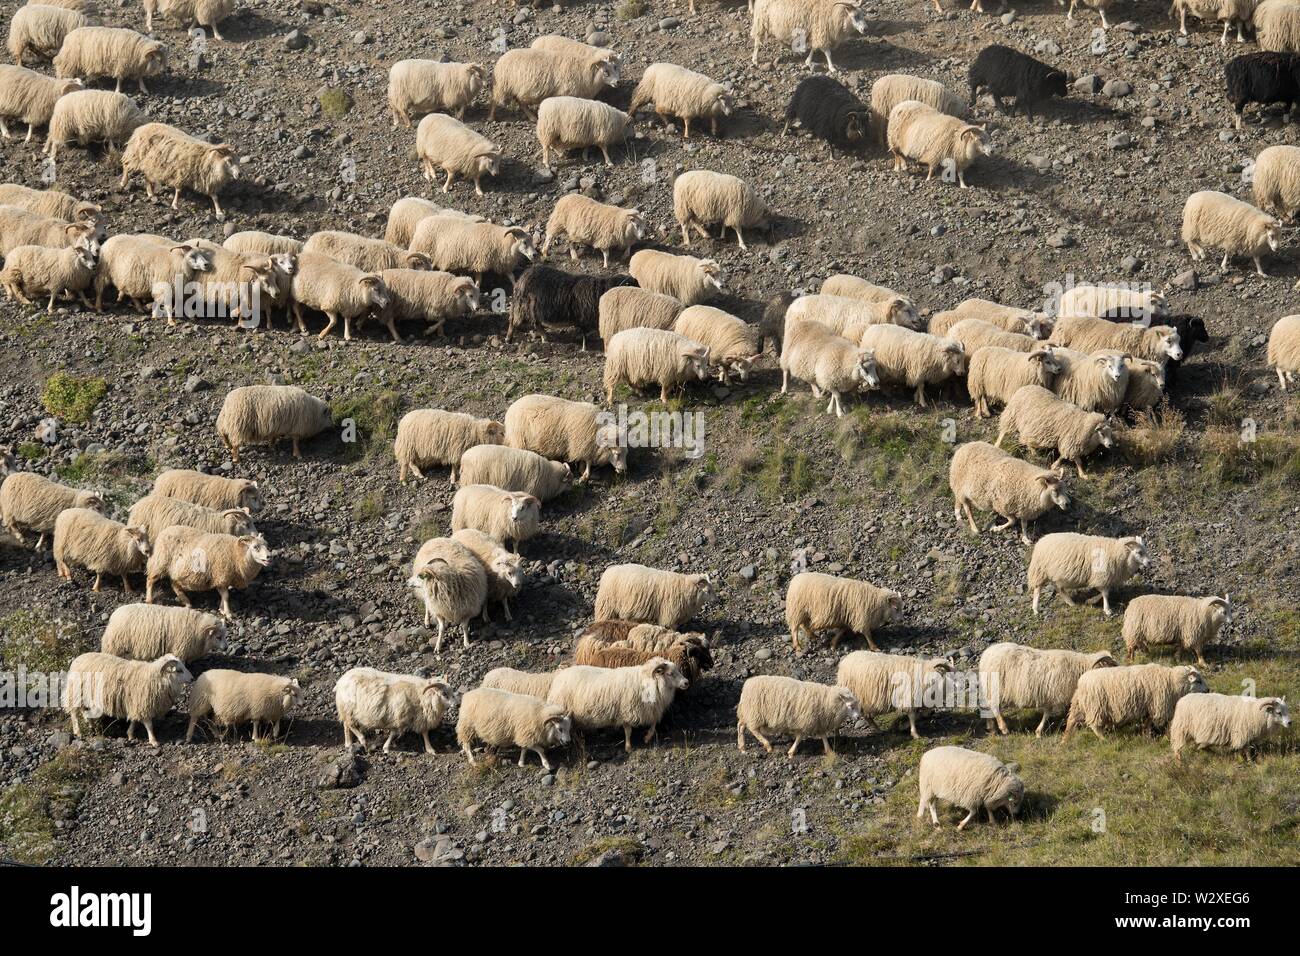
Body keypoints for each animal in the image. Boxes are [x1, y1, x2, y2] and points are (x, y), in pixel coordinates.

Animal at [489, 48, 618, 120]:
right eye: (606, 71)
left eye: (615, 67)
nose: (617, 82)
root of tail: (500, 60)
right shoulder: (565, 93)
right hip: (502, 86)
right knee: (495, 101)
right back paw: (492, 117)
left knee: (520, 102)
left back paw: (531, 117)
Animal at [506, 264, 637, 346]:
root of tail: (522, 278)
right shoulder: (586, 318)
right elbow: (585, 332)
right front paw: (584, 345)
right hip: (525, 307)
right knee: (516, 322)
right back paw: (510, 339)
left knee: (532, 323)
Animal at [546, 659, 689, 751]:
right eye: (670, 673)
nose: (686, 682)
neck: (648, 682)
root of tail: (558, 678)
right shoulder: (627, 711)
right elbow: (628, 730)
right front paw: (628, 747)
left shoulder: (649, 709)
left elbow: (654, 723)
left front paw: (647, 737)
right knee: (571, 729)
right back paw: (580, 743)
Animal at [979, 643, 1117, 737]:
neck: (1081, 668)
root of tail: (987, 653)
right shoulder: (1054, 695)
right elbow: (1047, 713)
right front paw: (1039, 731)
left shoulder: (1050, 696)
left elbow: (1048, 712)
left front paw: (1039, 731)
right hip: (996, 688)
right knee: (994, 707)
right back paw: (1003, 728)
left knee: (988, 708)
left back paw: (992, 728)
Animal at [1064, 663, 1207, 739]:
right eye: (1198, 681)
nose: (1208, 690)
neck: (1172, 680)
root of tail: (1081, 682)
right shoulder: (1157, 706)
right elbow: (1161, 723)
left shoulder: (1147, 707)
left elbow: (1147, 723)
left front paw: (1147, 736)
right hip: (1095, 707)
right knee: (1095, 725)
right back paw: (1104, 739)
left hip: (1079, 705)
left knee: (1071, 721)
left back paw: (1065, 740)